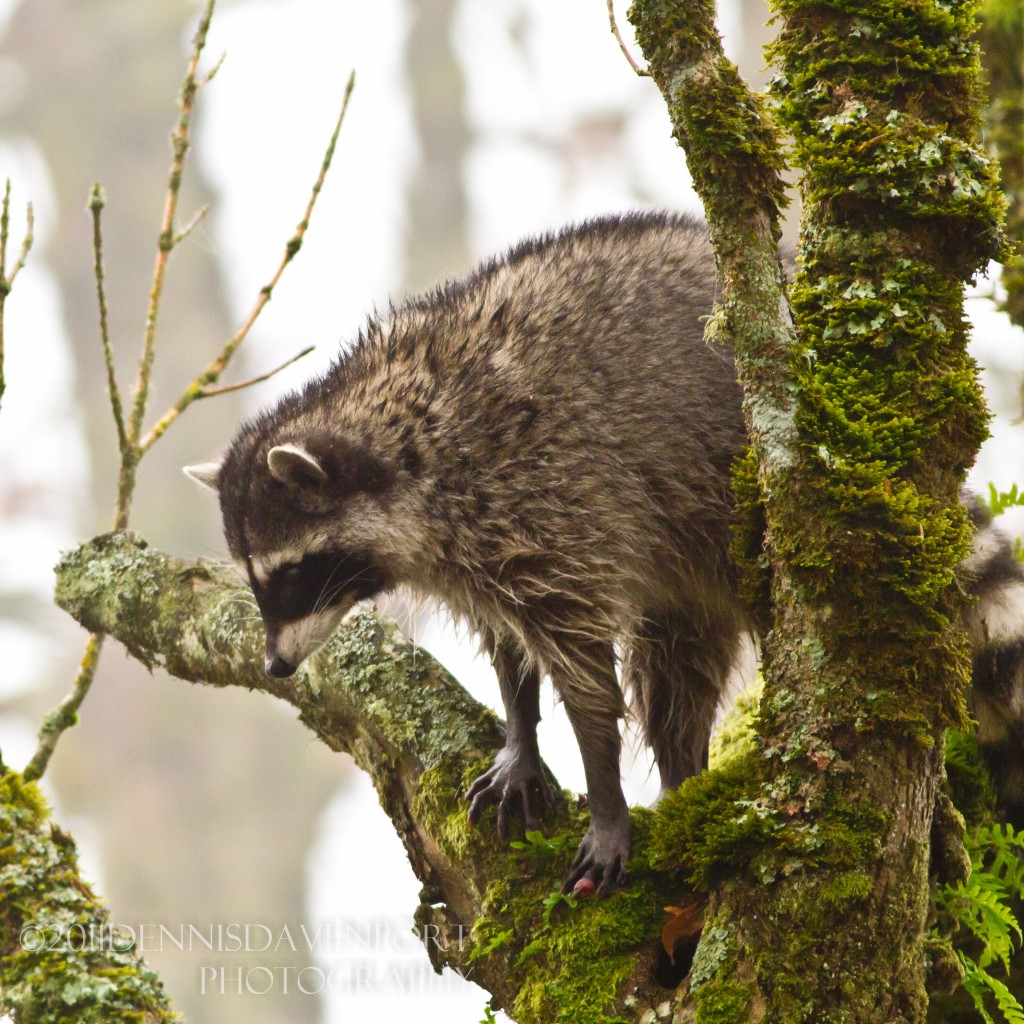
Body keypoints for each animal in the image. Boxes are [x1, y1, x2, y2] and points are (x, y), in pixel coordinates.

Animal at [186, 212, 1024, 895]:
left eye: (294, 574)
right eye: (256, 579)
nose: (276, 666)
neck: (398, 443)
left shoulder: (549, 502)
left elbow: (586, 677)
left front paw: (606, 793)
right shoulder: (476, 553)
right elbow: (508, 645)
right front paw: (521, 730)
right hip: (687, 570)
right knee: (675, 679)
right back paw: (685, 783)